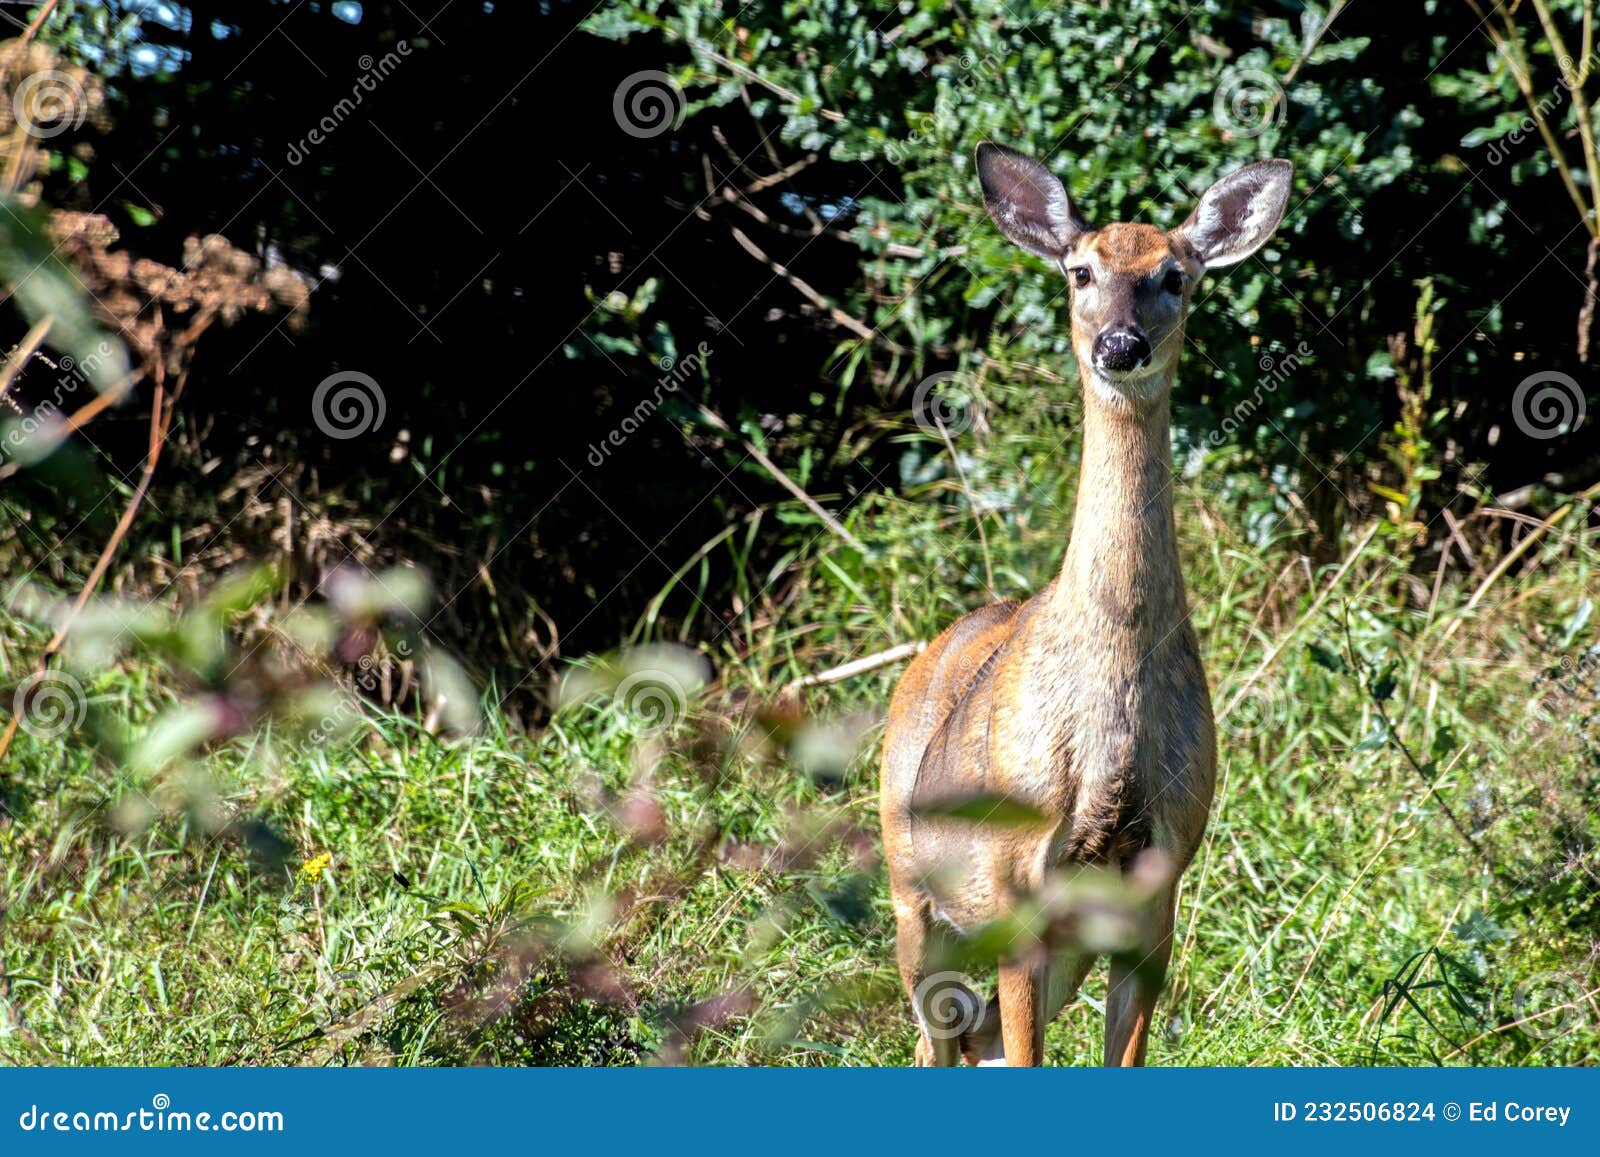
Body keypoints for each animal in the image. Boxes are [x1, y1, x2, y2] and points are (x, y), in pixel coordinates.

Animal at [879, 142, 1292, 1067]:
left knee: (974, 1042)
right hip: (911, 890)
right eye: (1080, 270)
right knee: (930, 1035)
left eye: (1174, 274)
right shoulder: (1014, 886)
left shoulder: (1155, 895)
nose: (1120, 342)